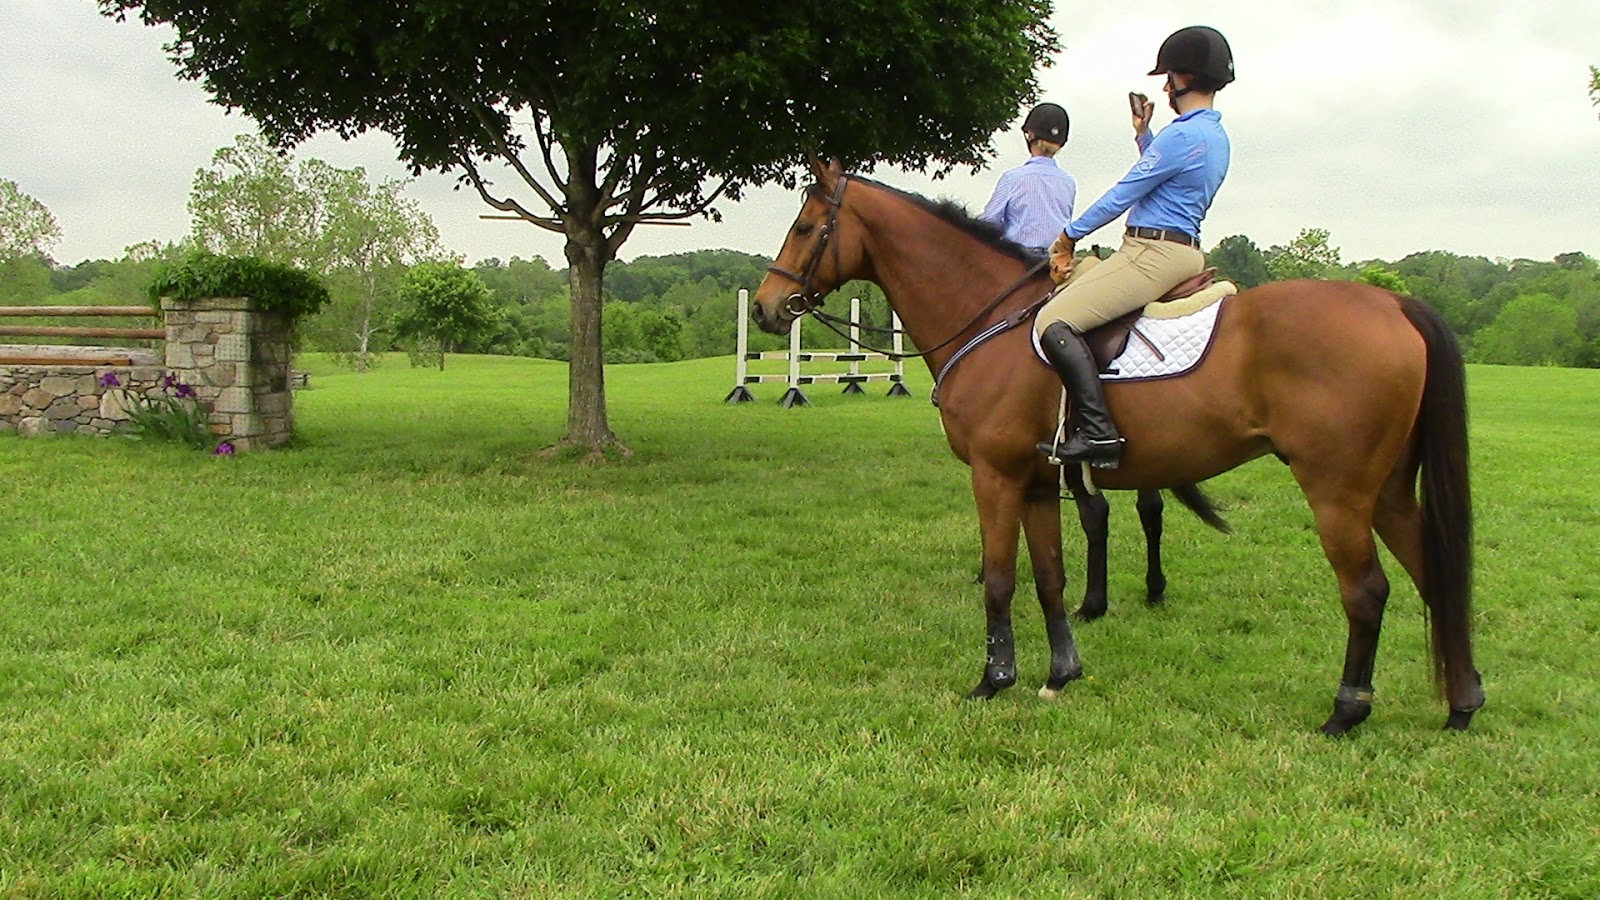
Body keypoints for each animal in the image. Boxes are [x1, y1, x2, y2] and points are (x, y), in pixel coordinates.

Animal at [751, 158, 1481, 734]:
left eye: (806, 228)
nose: (765, 307)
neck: (990, 319)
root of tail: (1394, 306)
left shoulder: (995, 476)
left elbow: (1000, 577)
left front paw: (992, 680)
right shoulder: (1037, 481)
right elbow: (1048, 575)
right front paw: (1060, 673)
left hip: (1338, 491)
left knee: (1367, 591)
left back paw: (1346, 710)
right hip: (1386, 491)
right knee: (1432, 570)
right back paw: (1462, 702)